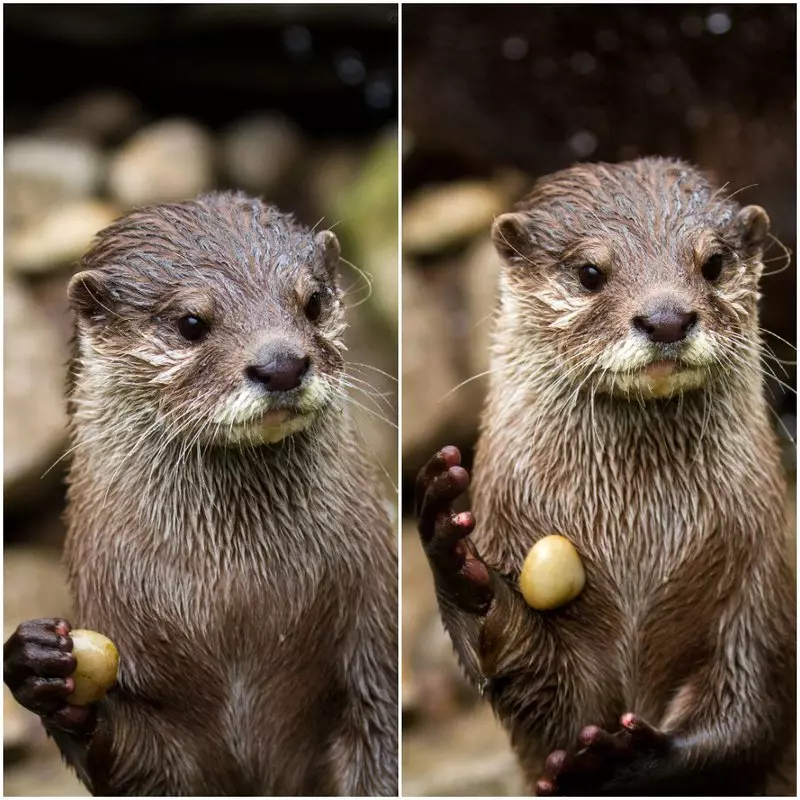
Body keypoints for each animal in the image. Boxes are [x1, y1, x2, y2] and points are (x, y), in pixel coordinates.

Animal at [3, 192, 396, 792]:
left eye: (312, 303)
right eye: (191, 322)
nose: (281, 363)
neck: (239, 603)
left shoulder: (375, 639)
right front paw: (37, 665)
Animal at [416, 158, 796, 792]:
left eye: (713, 264)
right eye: (590, 272)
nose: (667, 317)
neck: (639, 543)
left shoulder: (761, 581)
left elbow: (751, 716)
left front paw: (627, 760)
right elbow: (542, 691)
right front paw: (453, 552)